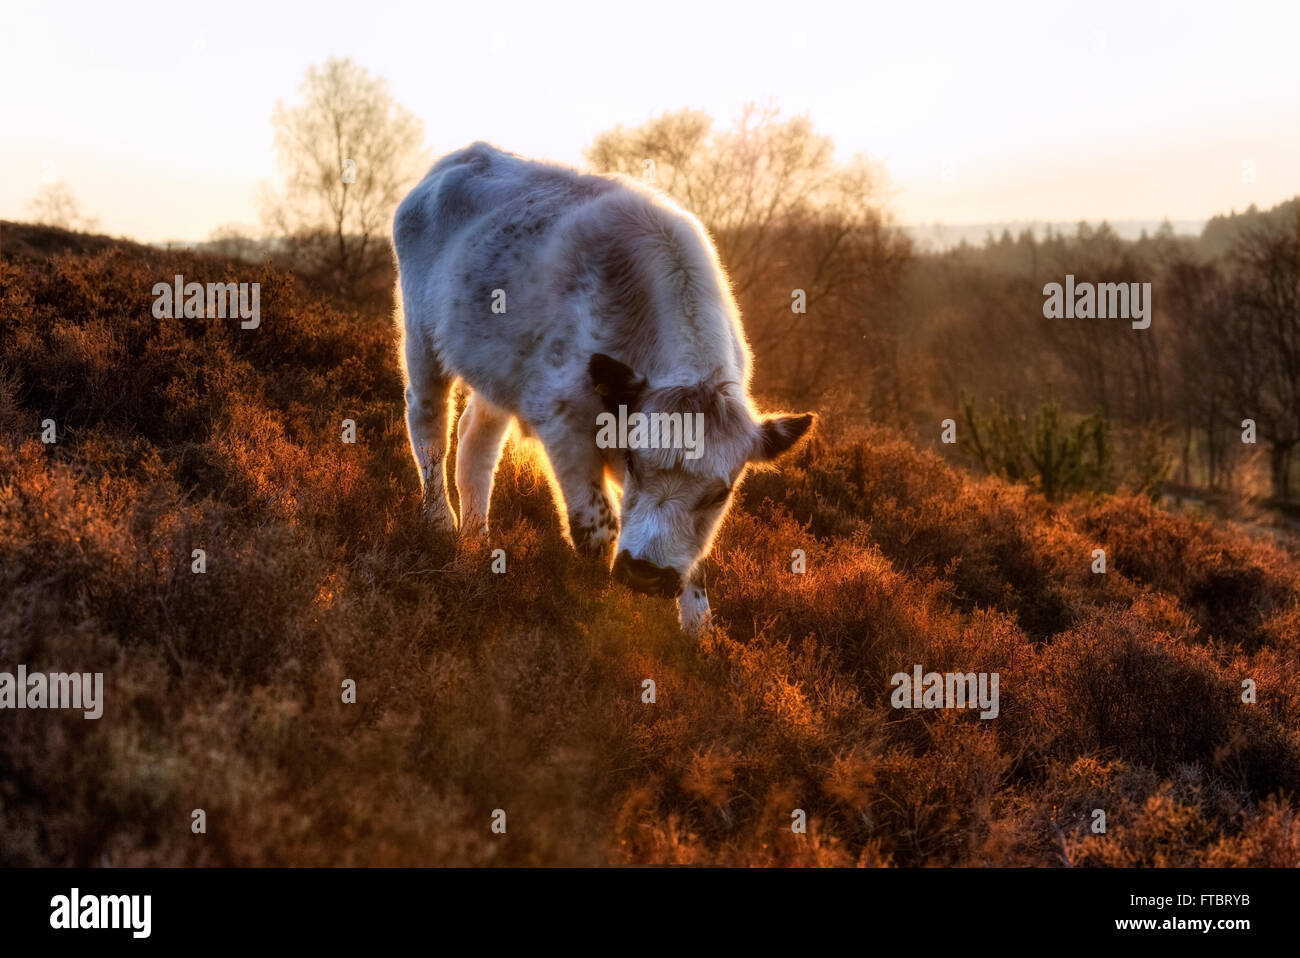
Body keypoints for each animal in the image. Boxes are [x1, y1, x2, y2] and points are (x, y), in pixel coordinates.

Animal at [392, 142, 813, 635]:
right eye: (634, 463)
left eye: (719, 493)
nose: (647, 574)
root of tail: (464, 156)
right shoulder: (562, 418)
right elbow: (598, 528)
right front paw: (597, 614)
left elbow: (698, 555)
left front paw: (698, 632)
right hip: (421, 337)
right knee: (429, 427)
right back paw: (439, 523)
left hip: (495, 369)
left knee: (476, 441)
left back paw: (476, 540)